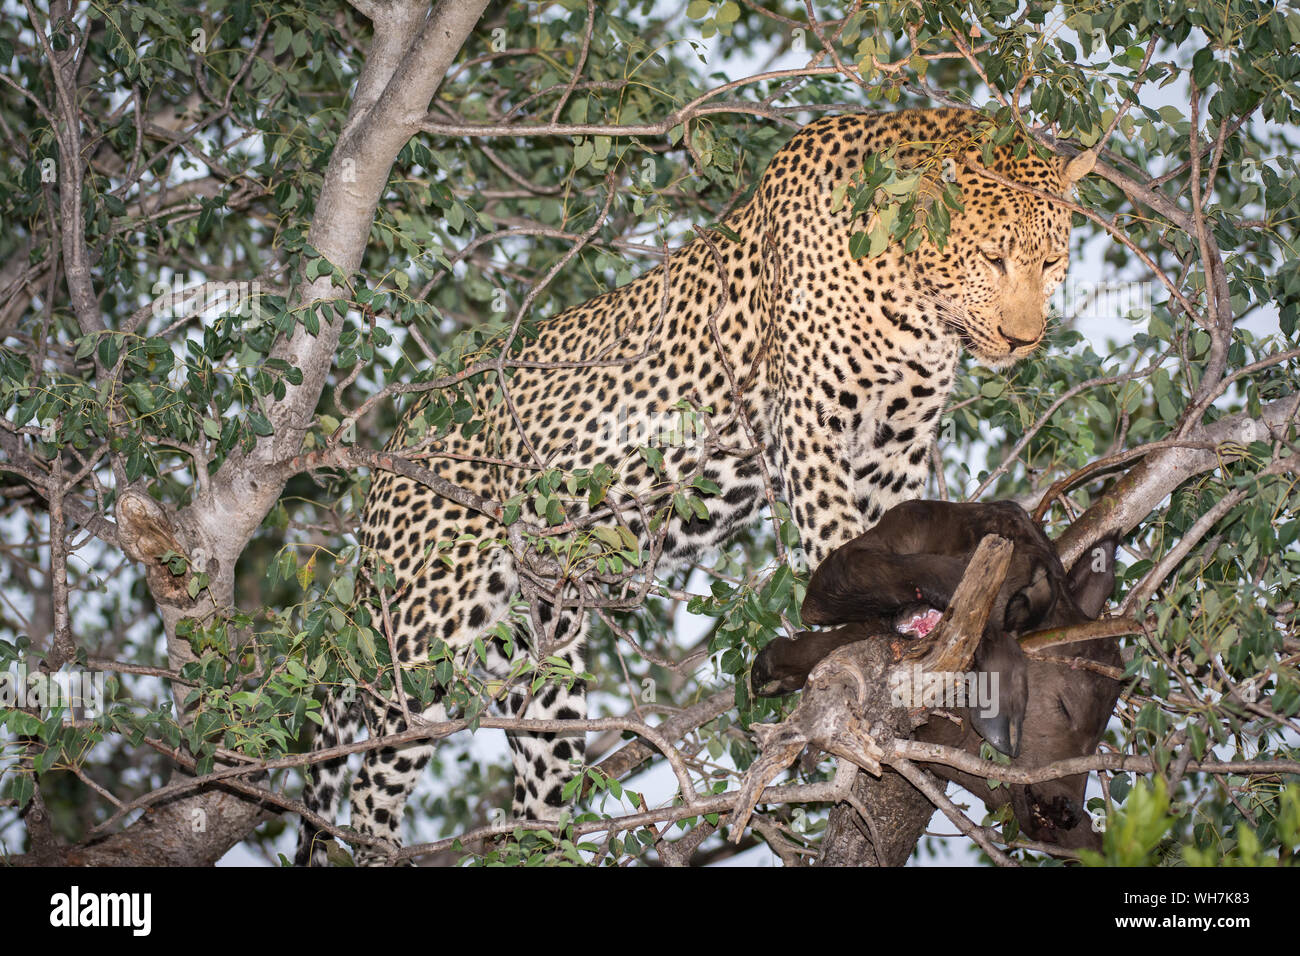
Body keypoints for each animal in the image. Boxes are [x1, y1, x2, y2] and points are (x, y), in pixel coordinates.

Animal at [294, 107, 1095, 865]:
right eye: (993, 257)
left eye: (1053, 260)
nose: (1025, 339)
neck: (917, 299)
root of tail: (393, 450)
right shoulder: (809, 425)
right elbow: (840, 541)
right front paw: (871, 643)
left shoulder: (894, 445)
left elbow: (898, 528)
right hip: (428, 636)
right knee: (367, 785)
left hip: (538, 649)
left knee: (535, 786)